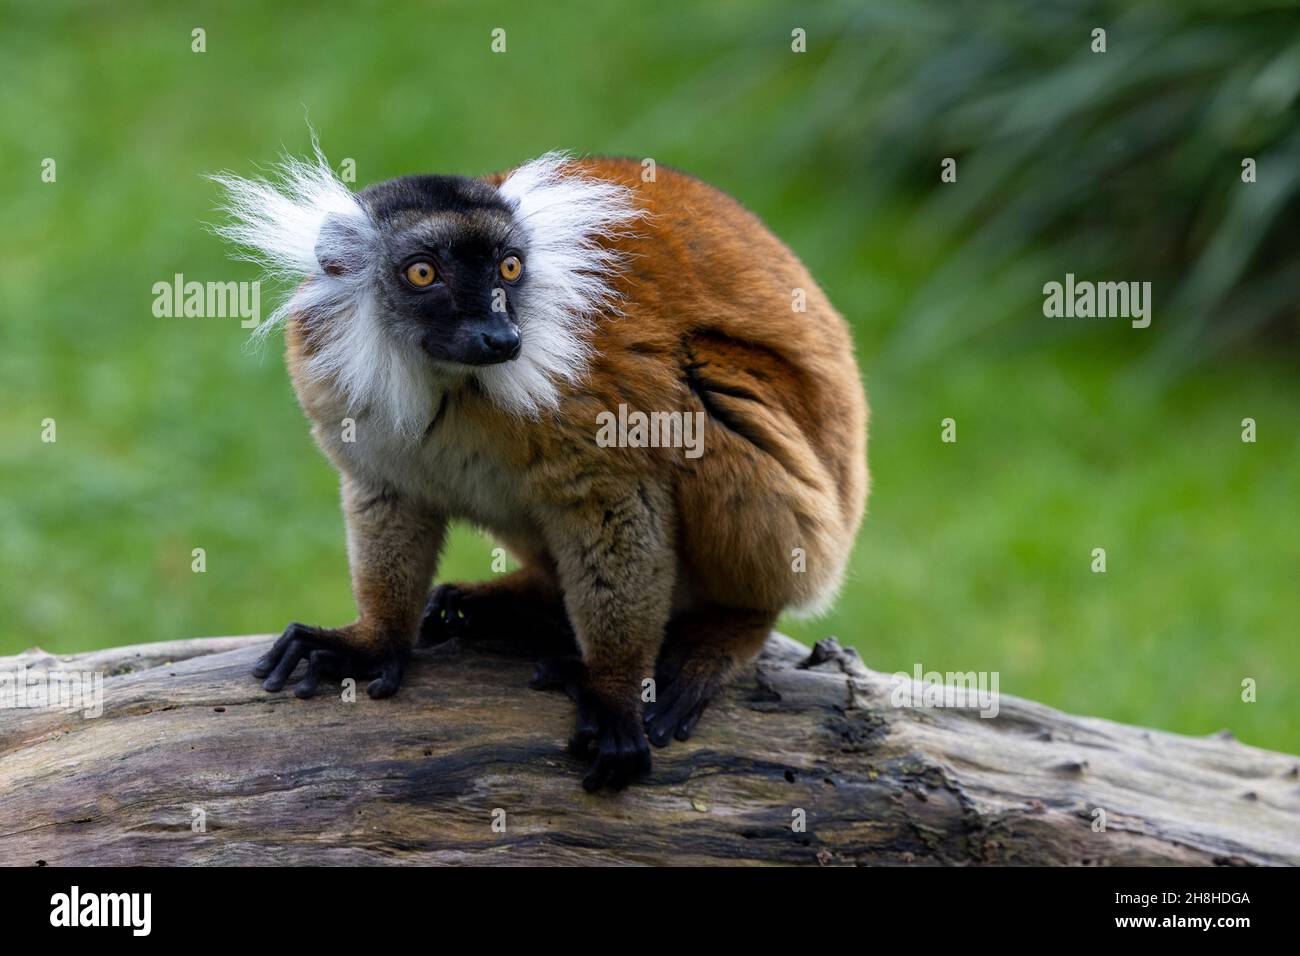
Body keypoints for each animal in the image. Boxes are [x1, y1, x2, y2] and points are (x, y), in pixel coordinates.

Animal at [214, 147, 868, 791]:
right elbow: (387, 493)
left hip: (814, 524)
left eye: (509, 269)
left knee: (702, 393)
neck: (449, 381)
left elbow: (614, 501)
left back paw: (729, 627)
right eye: (423, 273)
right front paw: (374, 641)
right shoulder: (328, 370)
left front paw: (613, 691)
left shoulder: (588, 390)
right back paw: (520, 600)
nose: (500, 335)